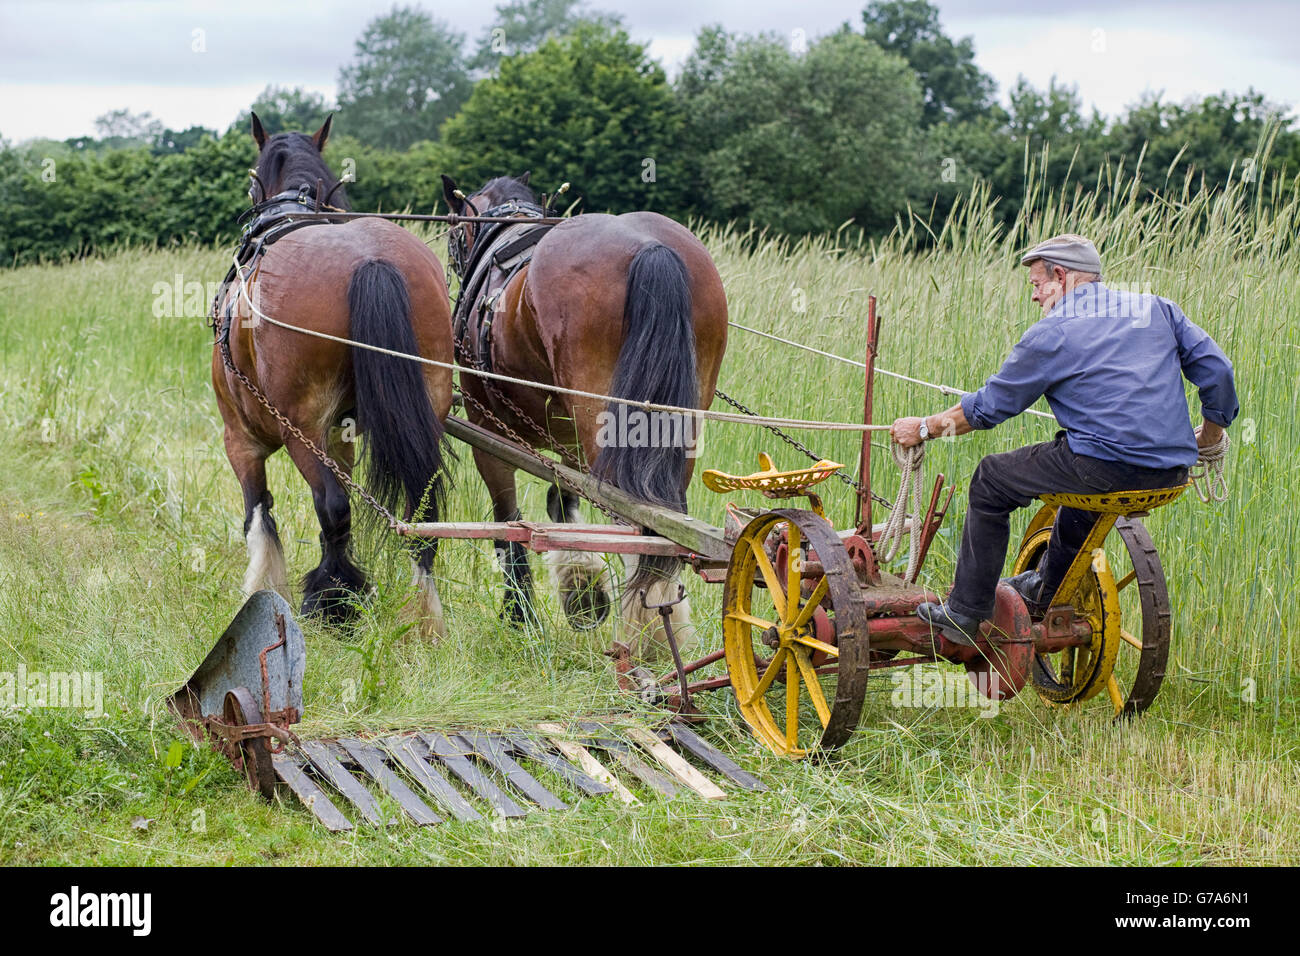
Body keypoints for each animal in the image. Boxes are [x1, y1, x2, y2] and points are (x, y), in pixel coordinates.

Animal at [211, 113, 455, 637]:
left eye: (250, 180)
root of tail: (370, 259)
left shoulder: (240, 437)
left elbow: (259, 514)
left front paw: (265, 592)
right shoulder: (341, 435)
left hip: (301, 428)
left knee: (333, 507)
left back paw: (332, 601)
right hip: (426, 407)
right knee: (420, 519)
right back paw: (421, 615)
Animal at [439, 172, 728, 657]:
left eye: (454, 233)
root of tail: (650, 247)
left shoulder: (488, 429)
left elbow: (508, 520)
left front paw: (519, 616)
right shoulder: (569, 439)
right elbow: (562, 501)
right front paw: (583, 592)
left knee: (631, 518)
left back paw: (639, 638)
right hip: (678, 423)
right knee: (666, 524)